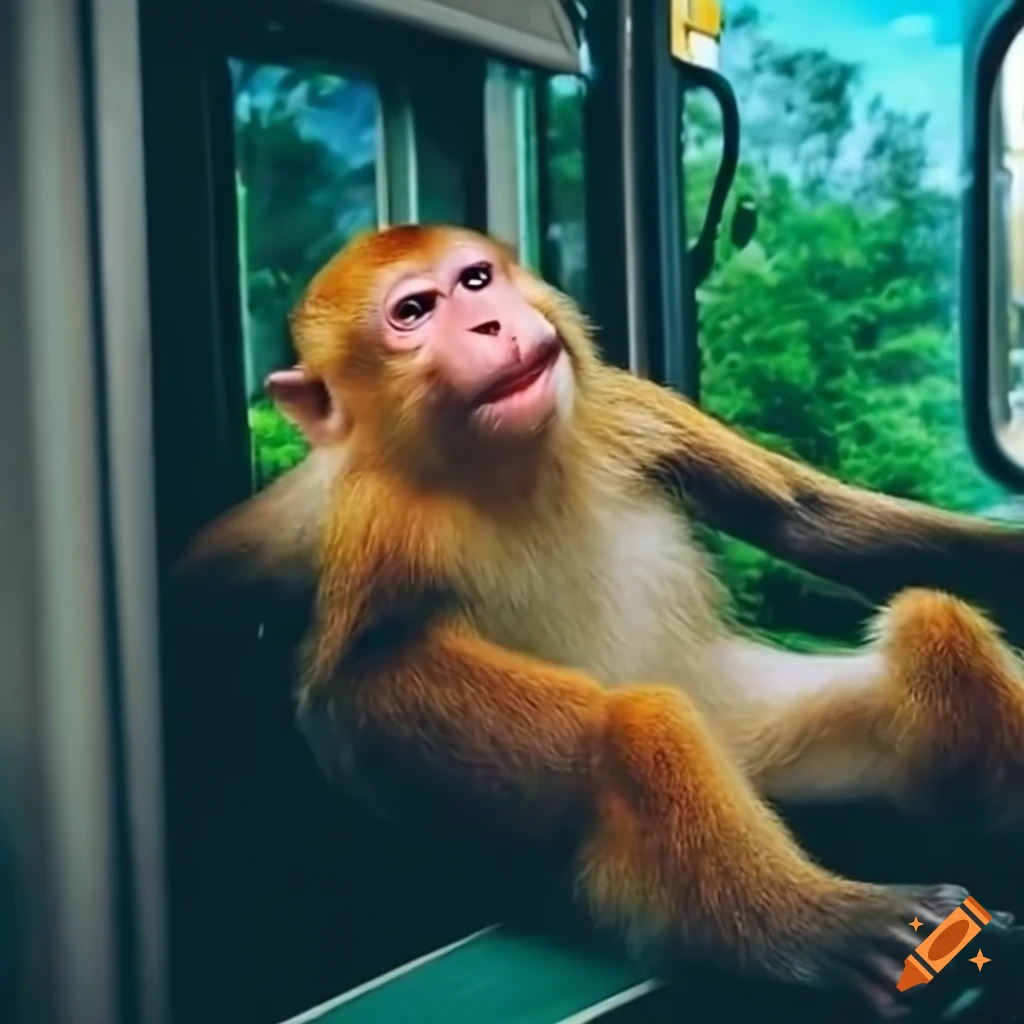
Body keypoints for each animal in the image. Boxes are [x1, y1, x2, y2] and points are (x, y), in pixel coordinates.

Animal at [181, 224, 1024, 1018]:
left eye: (475, 280)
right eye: (413, 312)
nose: (491, 322)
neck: (514, 467)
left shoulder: (627, 406)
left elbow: (802, 517)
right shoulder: (377, 517)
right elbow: (364, 677)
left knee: (931, 623)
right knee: (643, 726)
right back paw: (821, 927)